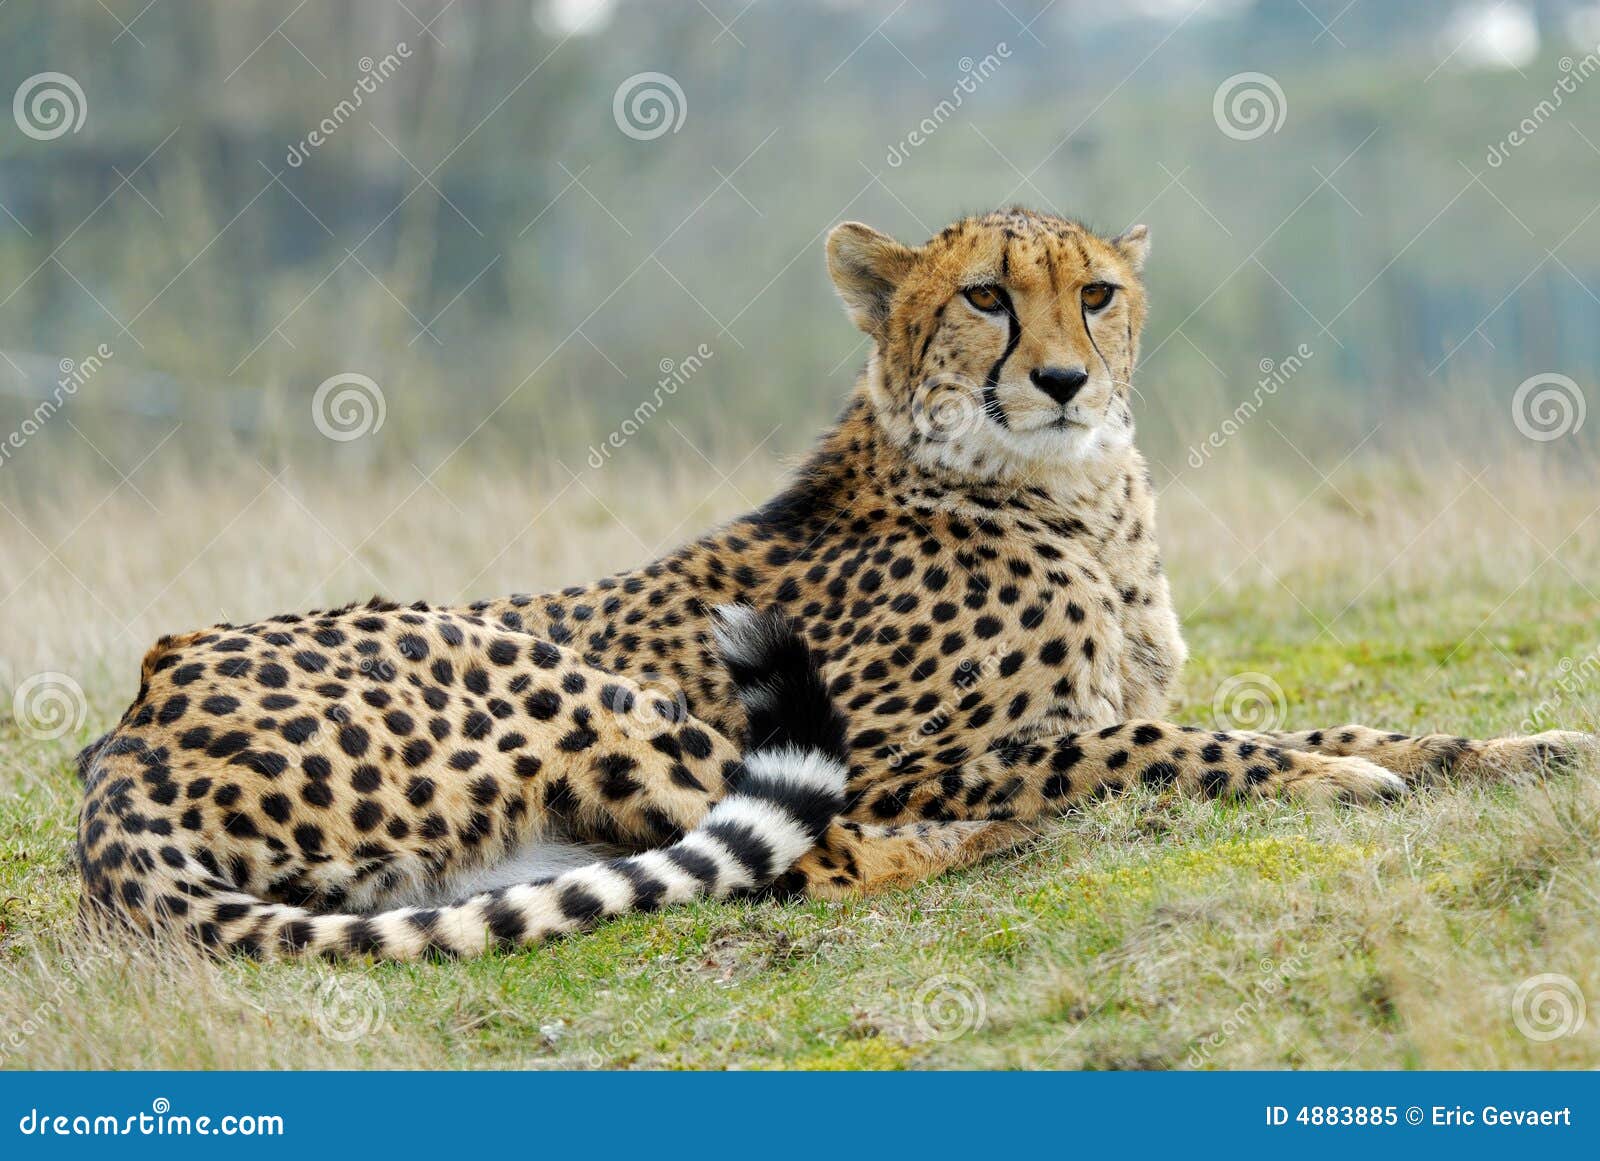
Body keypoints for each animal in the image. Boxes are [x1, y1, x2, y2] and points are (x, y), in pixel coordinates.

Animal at [75, 207, 1593, 960]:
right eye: (986, 296)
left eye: (1096, 294)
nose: (1064, 379)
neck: (1075, 497)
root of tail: (131, 724)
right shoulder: (908, 747)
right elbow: (1149, 740)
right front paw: (1324, 779)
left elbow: (1312, 718)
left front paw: (1512, 745)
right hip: (579, 683)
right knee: (827, 854)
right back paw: (1000, 840)